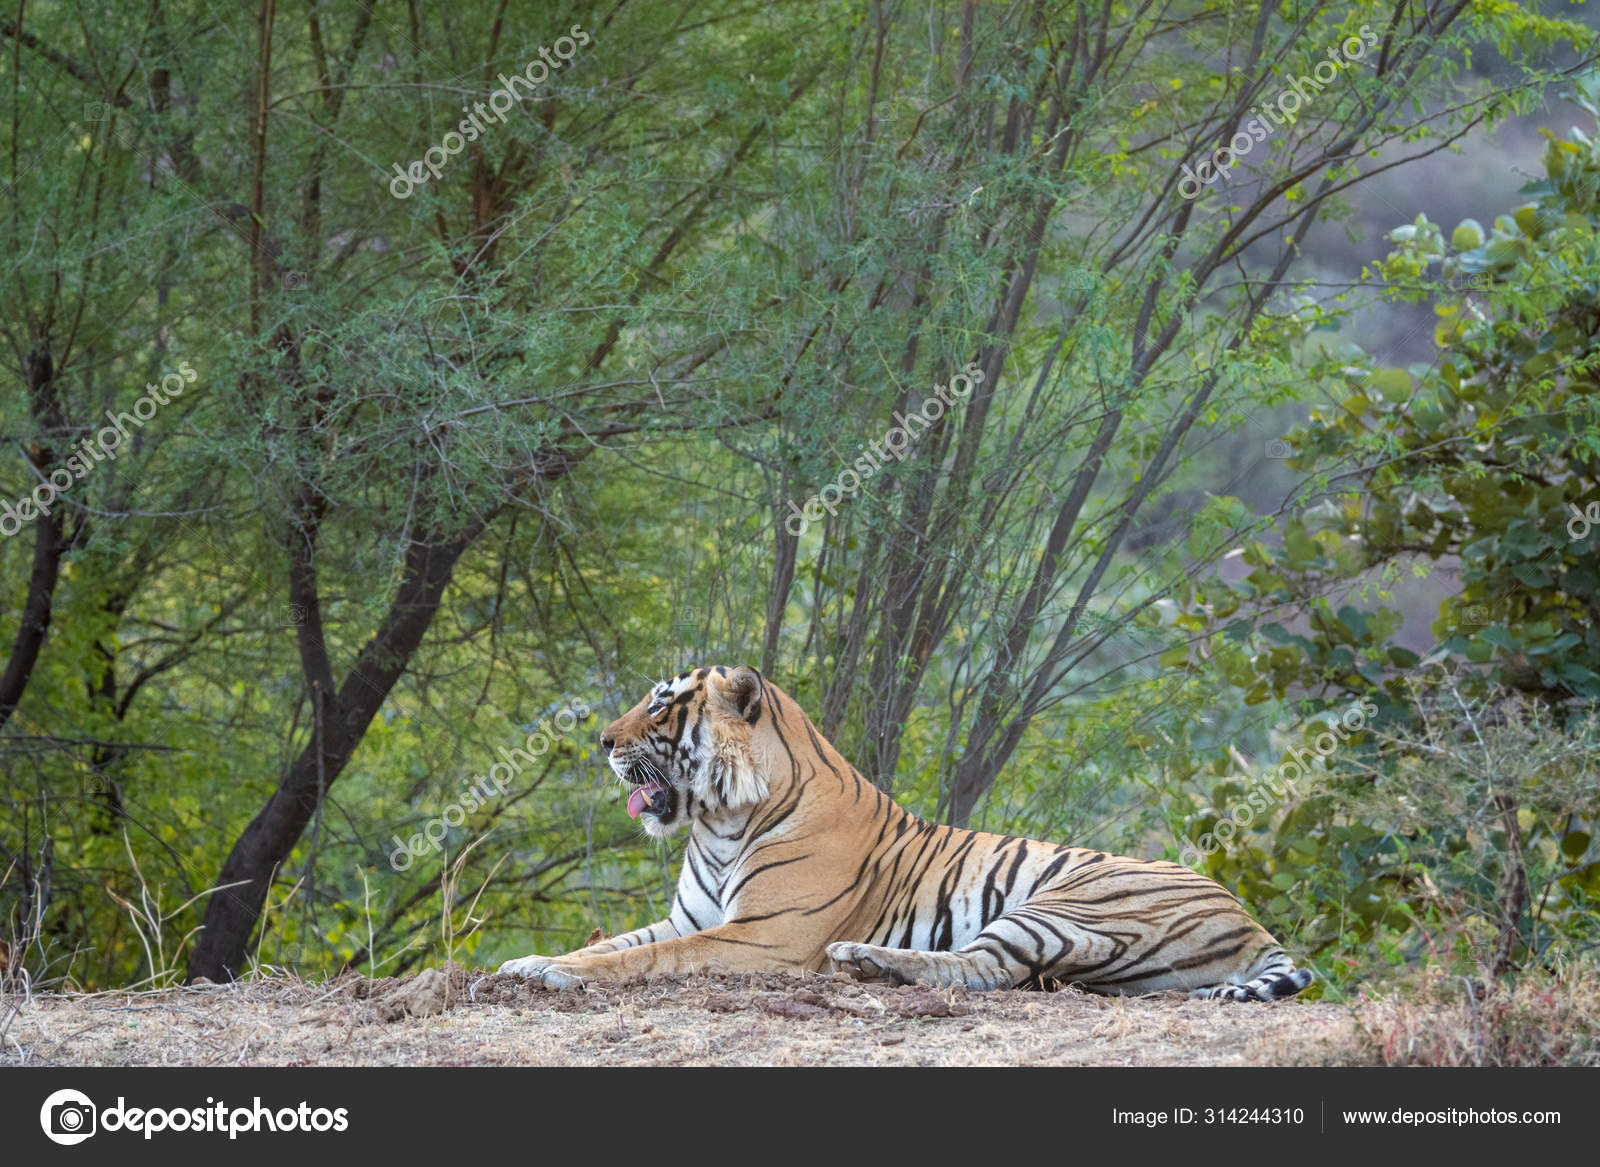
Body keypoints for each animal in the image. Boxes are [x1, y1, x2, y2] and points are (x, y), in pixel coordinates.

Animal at [498, 665, 1314, 1002]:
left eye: (662, 704)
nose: (601, 740)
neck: (720, 823)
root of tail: (1252, 918)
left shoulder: (763, 936)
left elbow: (647, 958)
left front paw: (557, 974)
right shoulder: (687, 916)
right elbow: (614, 943)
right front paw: (531, 960)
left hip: (1071, 903)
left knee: (982, 969)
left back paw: (864, 959)